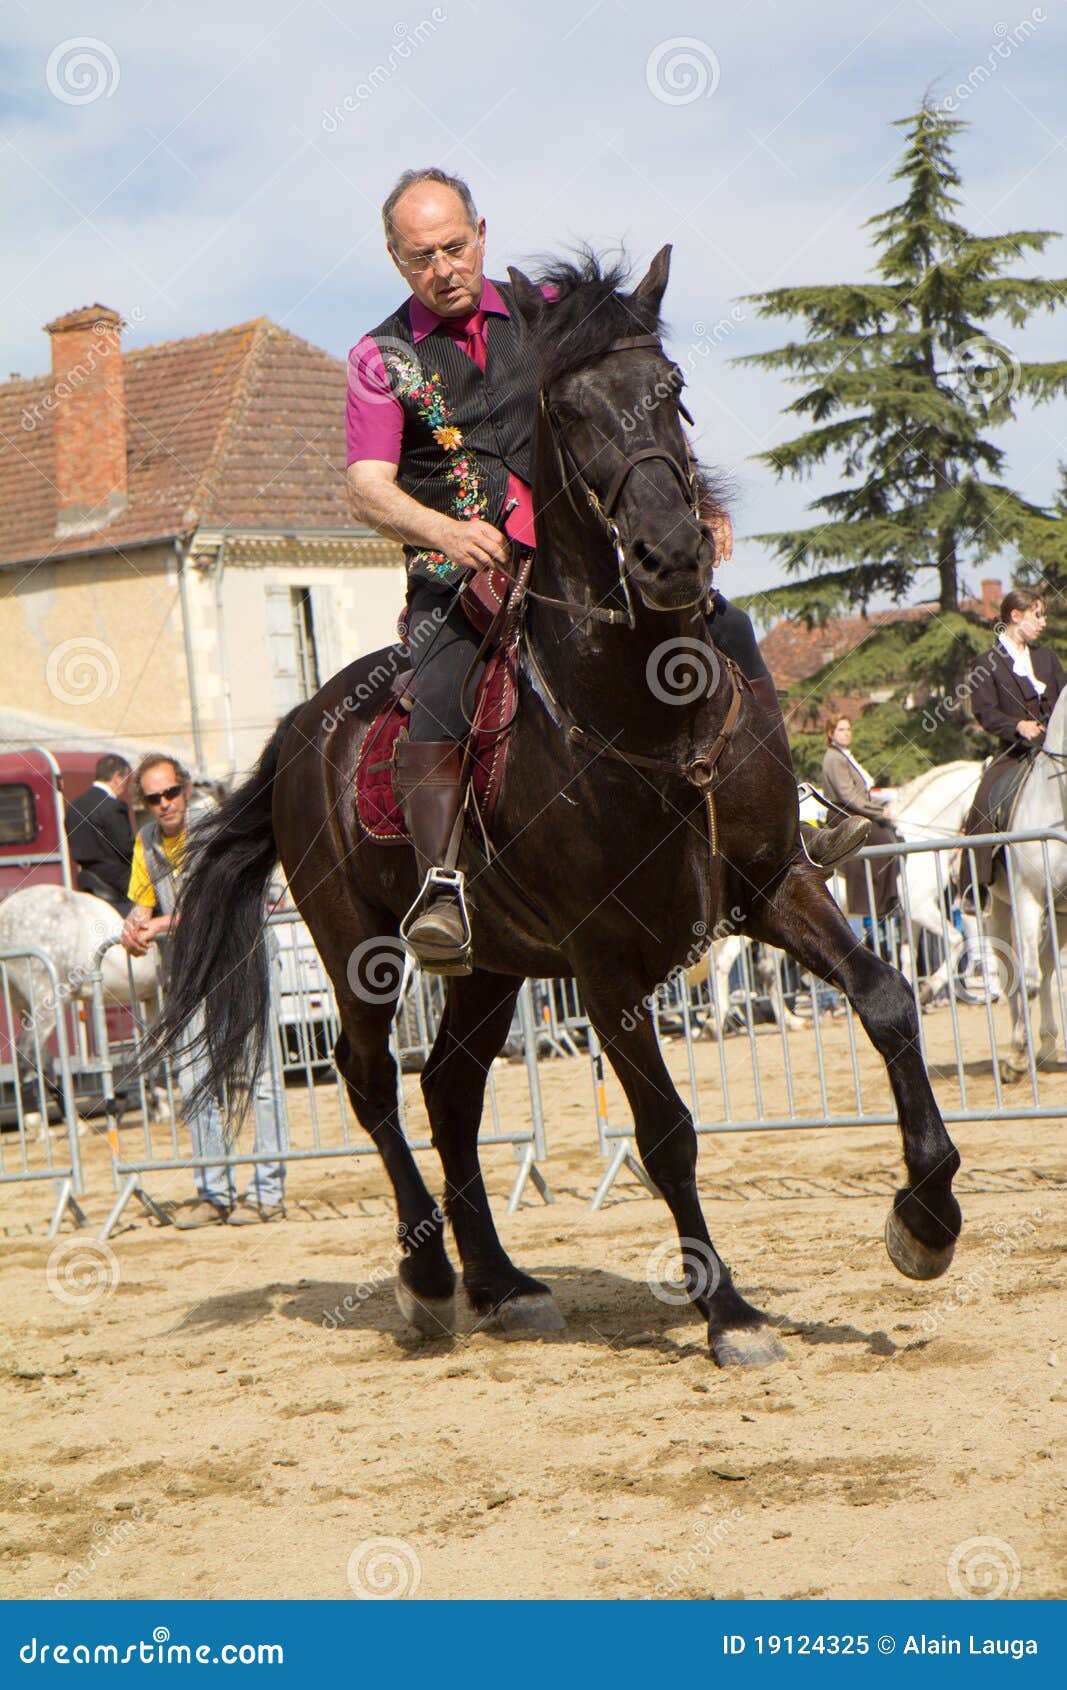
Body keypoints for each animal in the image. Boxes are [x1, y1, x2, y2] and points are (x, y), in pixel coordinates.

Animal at [0, 885, 160, 1129]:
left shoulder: (151, 996)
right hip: (47, 998)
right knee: (26, 1050)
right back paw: (36, 1120)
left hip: (23, 1004)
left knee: (42, 1060)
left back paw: (74, 1122)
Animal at [151, 248, 962, 1369]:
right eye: (569, 413)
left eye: (668, 388)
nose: (671, 554)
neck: (649, 707)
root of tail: (302, 729)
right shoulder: (605, 962)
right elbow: (666, 1133)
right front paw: (728, 1311)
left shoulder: (771, 885)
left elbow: (885, 1000)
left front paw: (924, 1219)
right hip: (360, 949)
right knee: (372, 1087)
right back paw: (429, 1282)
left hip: (491, 967)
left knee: (449, 1094)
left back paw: (499, 1280)